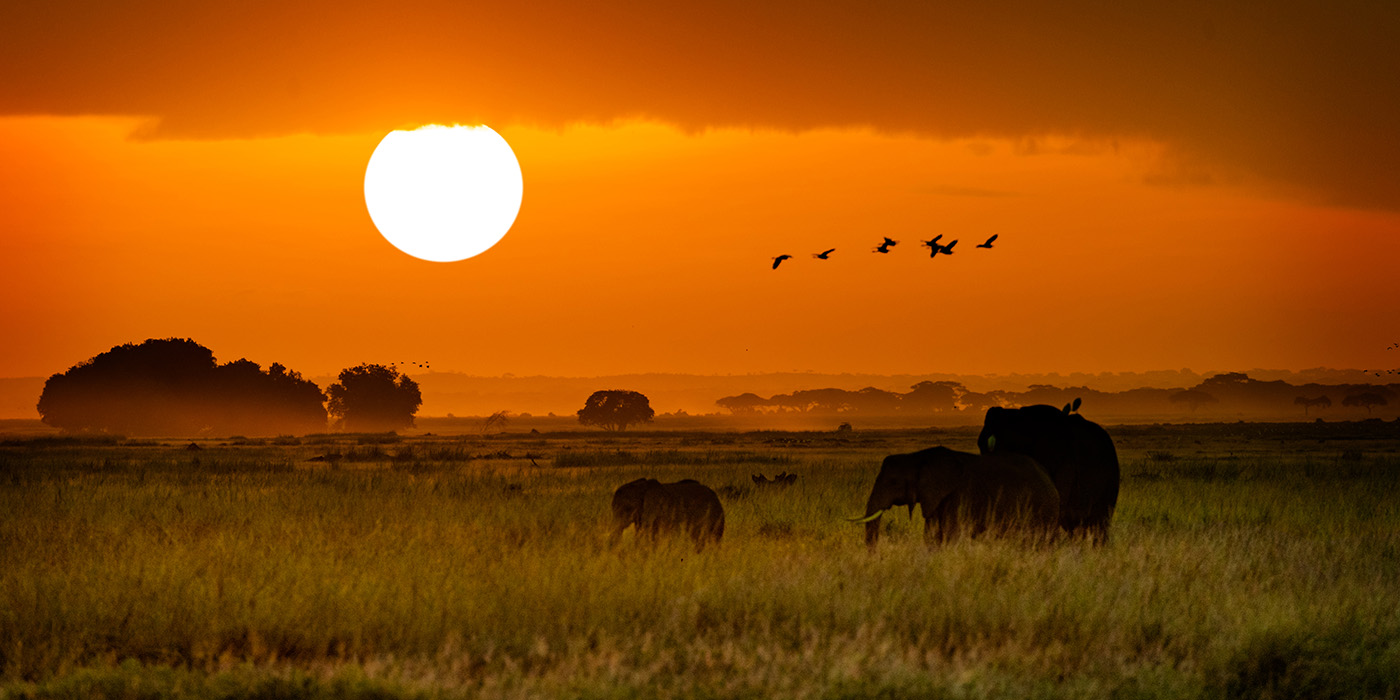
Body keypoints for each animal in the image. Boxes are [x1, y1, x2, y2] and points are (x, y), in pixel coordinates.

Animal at [852, 446, 1059, 548]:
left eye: (893, 481)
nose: (876, 556)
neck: (917, 457)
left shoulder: (960, 495)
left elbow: (952, 533)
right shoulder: (937, 497)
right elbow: (932, 534)